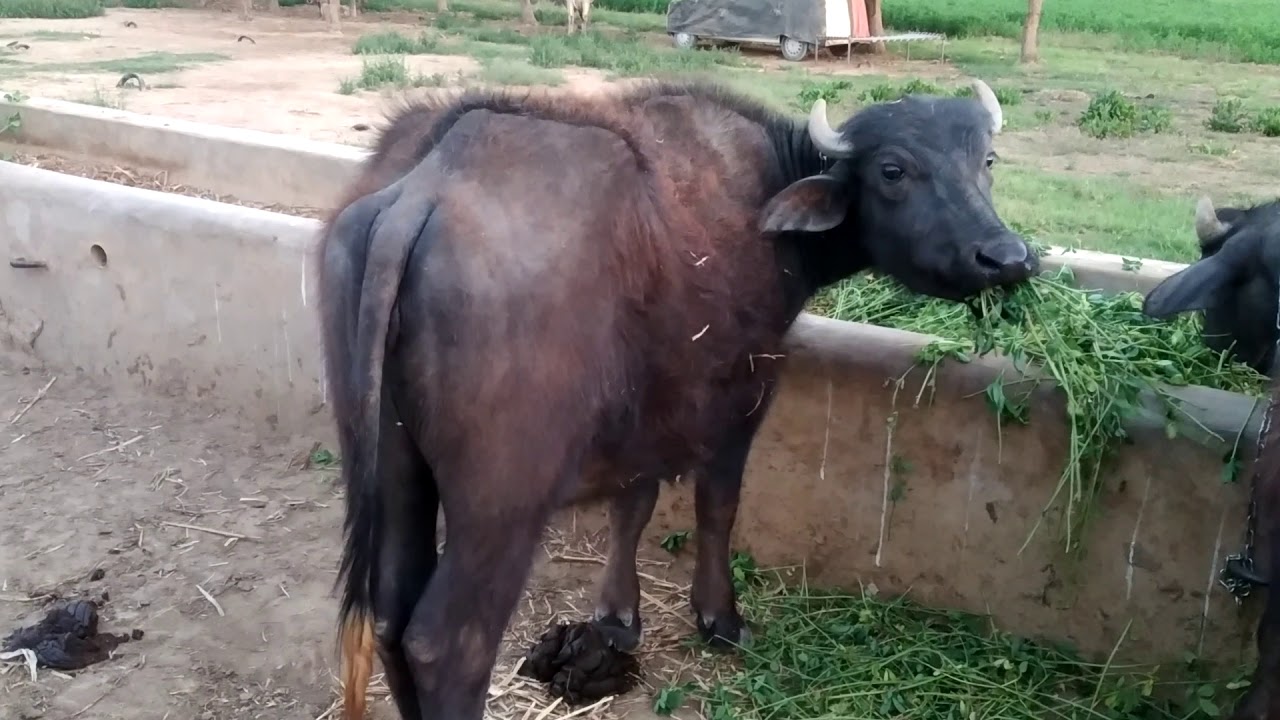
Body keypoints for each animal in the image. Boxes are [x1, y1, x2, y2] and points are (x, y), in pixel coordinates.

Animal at [318, 78, 1038, 720]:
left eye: (987, 160)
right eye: (893, 170)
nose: (1006, 257)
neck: (759, 198)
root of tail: (420, 193)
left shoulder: (645, 413)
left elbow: (632, 507)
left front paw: (616, 617)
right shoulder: (740, 397)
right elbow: (717, 507)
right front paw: (721, 616)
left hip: (391, 463)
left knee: (390, 615)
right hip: (500, 500)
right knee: (446, 642)